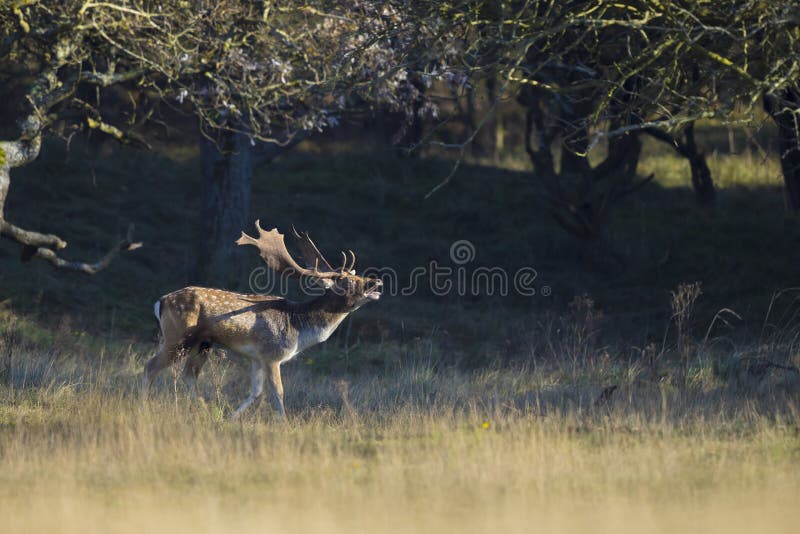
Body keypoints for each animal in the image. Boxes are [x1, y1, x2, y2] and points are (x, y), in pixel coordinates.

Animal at [143, 220, 382, 418]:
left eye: (359, 276)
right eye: (348, 282)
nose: (376, 282)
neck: (299, 329)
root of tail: (160, 301)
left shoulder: (256, 358)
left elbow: (256, 392)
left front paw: (230, 418)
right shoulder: (272, 354)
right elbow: (278, 393)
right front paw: (284, 423)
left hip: (202, 344)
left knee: (189, 375)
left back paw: (206, 412)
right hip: (178, 336)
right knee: (150, 366)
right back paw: (144, 407)